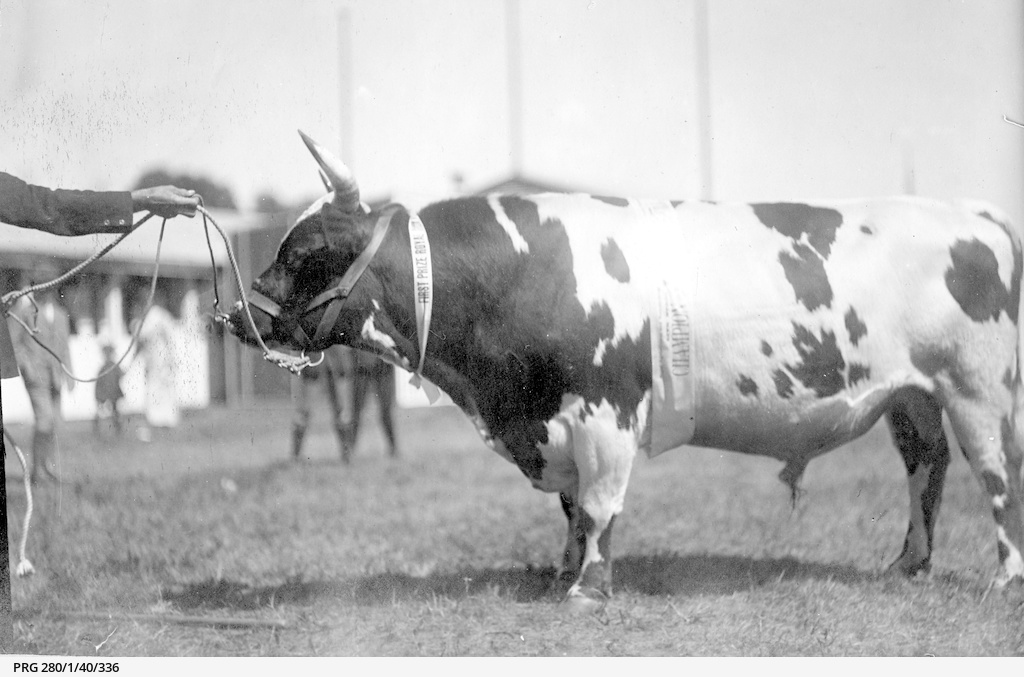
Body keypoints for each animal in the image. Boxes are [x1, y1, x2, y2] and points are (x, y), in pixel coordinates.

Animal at [227, 132, 1024, 610]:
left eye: (304, 252)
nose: (235, 311)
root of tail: (973, 215)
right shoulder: (554, 421)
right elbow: (572, 508)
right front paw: (562, 570)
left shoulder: (605, 410)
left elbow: (601, 504)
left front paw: (589, 587)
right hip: (912, 395)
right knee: (927, 466)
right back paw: (908, 566)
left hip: (977, 388)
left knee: (996, 476)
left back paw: (1003, 576)